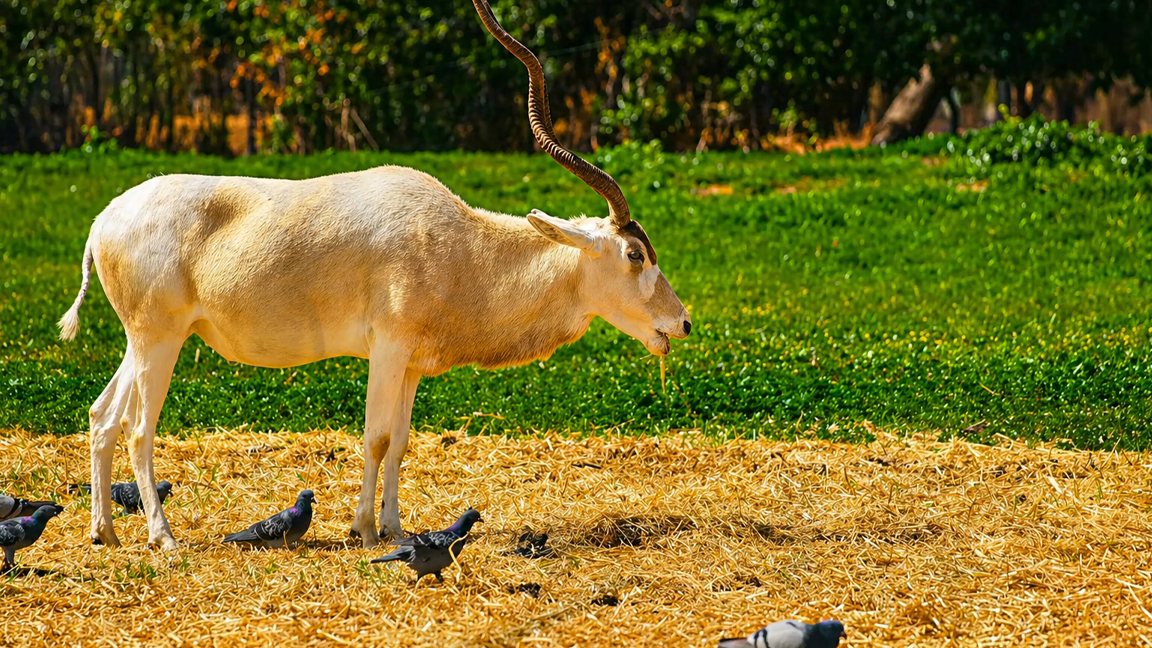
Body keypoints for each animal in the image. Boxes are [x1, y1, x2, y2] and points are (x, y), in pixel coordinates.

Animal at [57, 0, 691, 551]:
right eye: (635, 256)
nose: (681, 323)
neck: (462, 246)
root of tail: (102, 222)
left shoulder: (409, 362)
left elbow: (402, 441)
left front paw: (393, 528)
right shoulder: (386, 348)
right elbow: (377, 436)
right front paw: (364, 530)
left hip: (143, 340)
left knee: (102, 416)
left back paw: (104, 533)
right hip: (160, 339)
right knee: (138, 427)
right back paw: (161, 537)